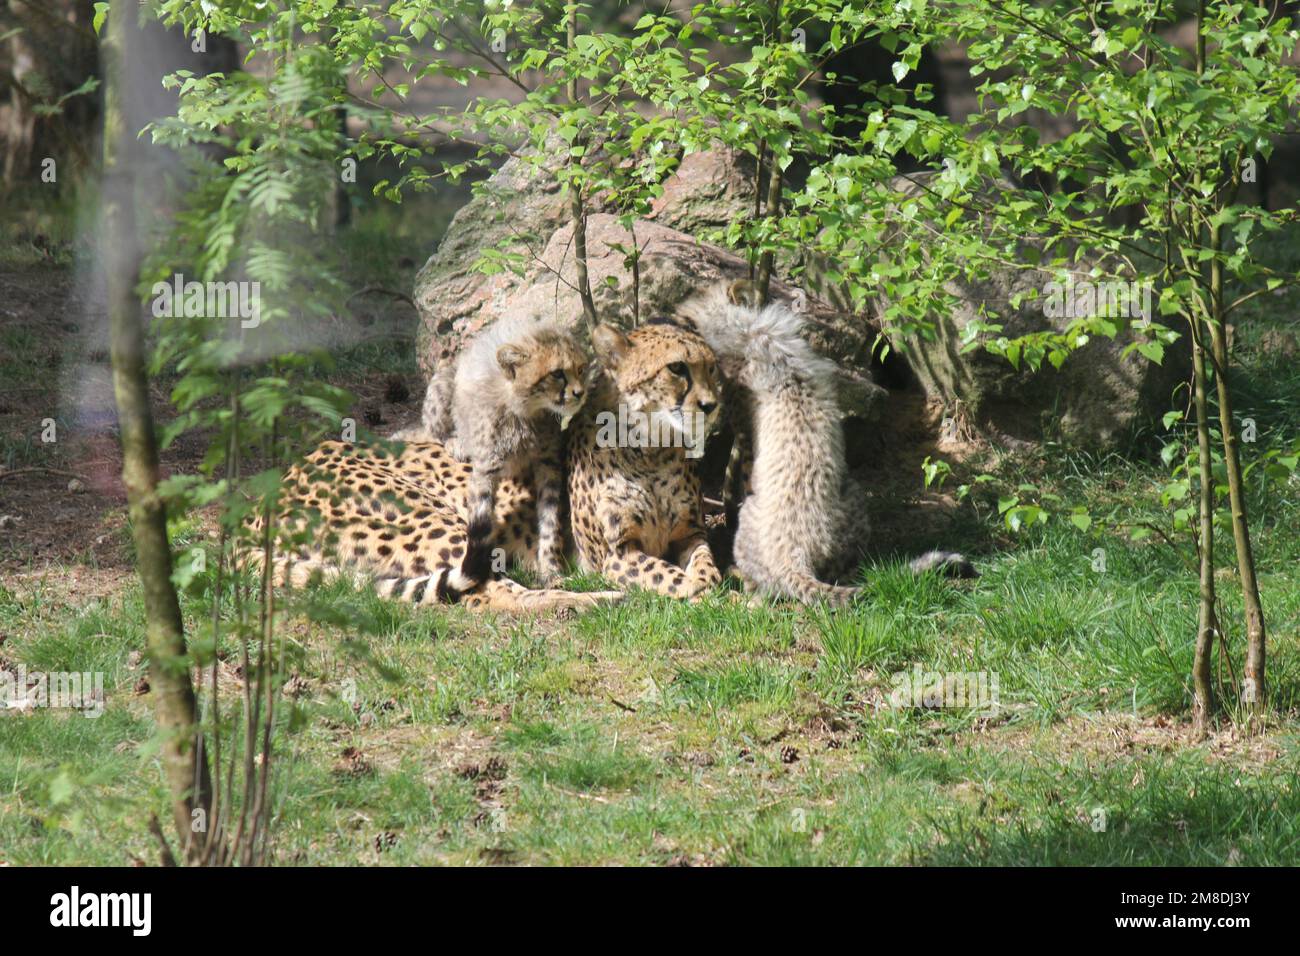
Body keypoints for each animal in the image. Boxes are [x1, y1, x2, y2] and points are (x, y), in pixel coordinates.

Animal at [566, 319, 725, 599]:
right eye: (676, 367)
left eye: (711, 368)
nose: (711, 405)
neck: (650, 451)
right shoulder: (615, 554)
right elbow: (666, 574)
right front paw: (704, 592)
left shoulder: (691, 531)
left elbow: (703, 559)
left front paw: (709, 580)